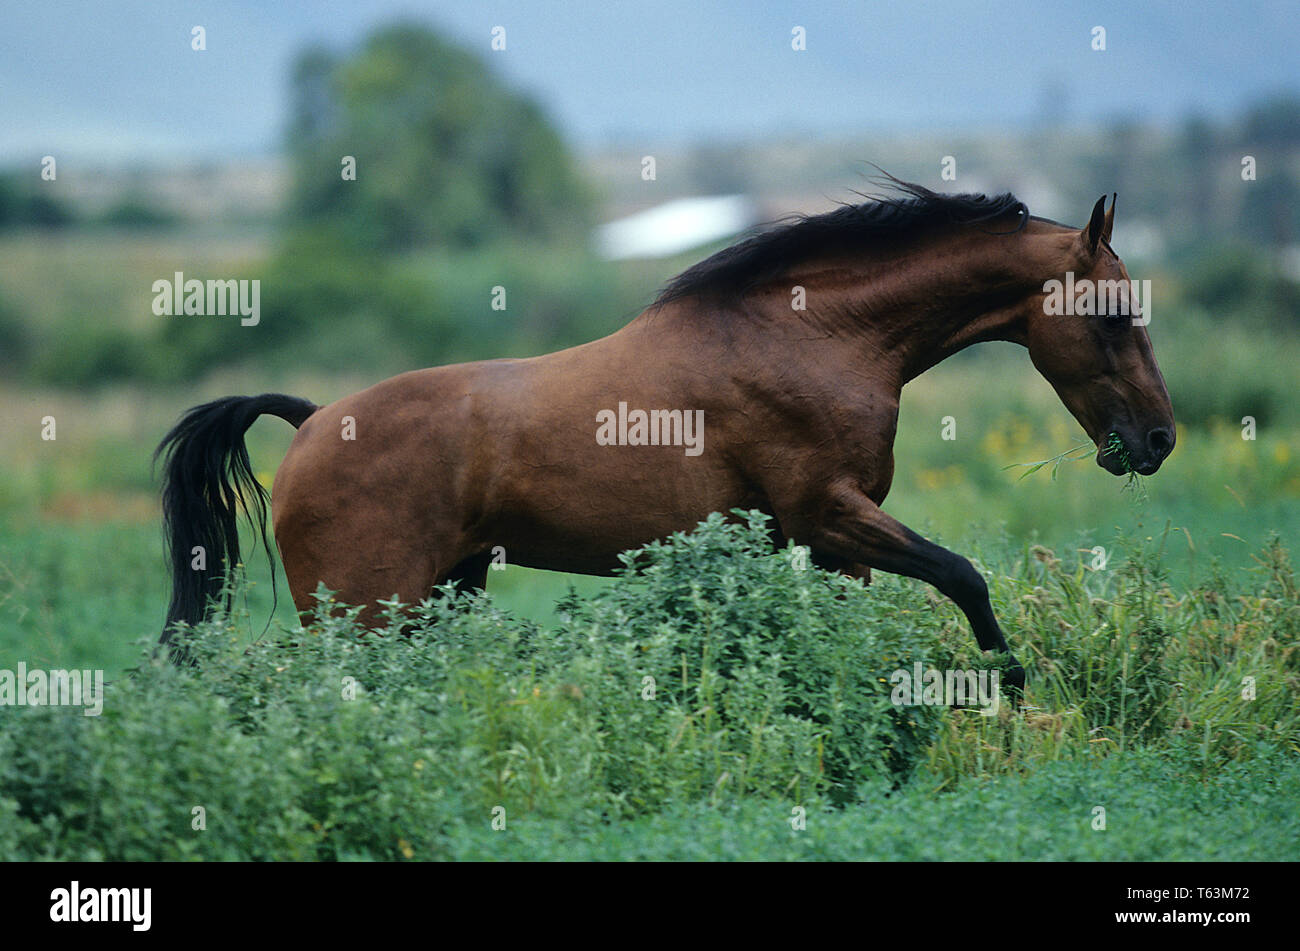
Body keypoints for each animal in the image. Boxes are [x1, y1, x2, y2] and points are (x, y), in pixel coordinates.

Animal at [156, 179, 1176, 689]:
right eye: (1114, 313)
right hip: (367, 613)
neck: (813, 335)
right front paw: (1018, 682)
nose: (1158, 441)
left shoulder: (833, 544)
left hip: (439, 595)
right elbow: (965, 576)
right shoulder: (827, 513)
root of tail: (312, 422)